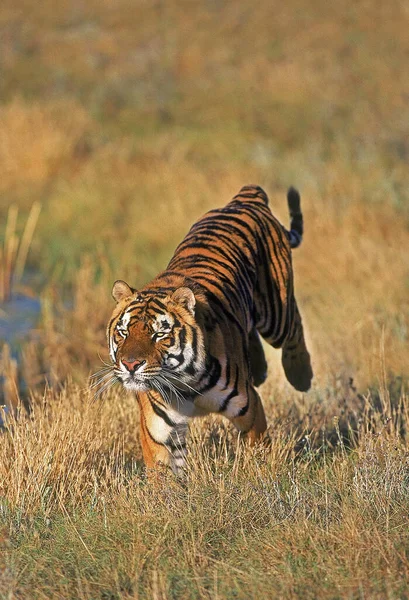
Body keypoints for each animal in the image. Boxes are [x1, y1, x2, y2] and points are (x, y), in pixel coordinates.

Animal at [106, 185, 312, 476]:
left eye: (159, 335)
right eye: (123, 332)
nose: (130, 364)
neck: (182, 384)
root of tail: (245, 196)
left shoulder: (248, 407)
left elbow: (258, 448)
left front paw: (259, 473)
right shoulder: (158, 428)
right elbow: (163, 472)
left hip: (276, 313)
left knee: (293, 328)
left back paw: (301, 376)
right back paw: (260, 370)